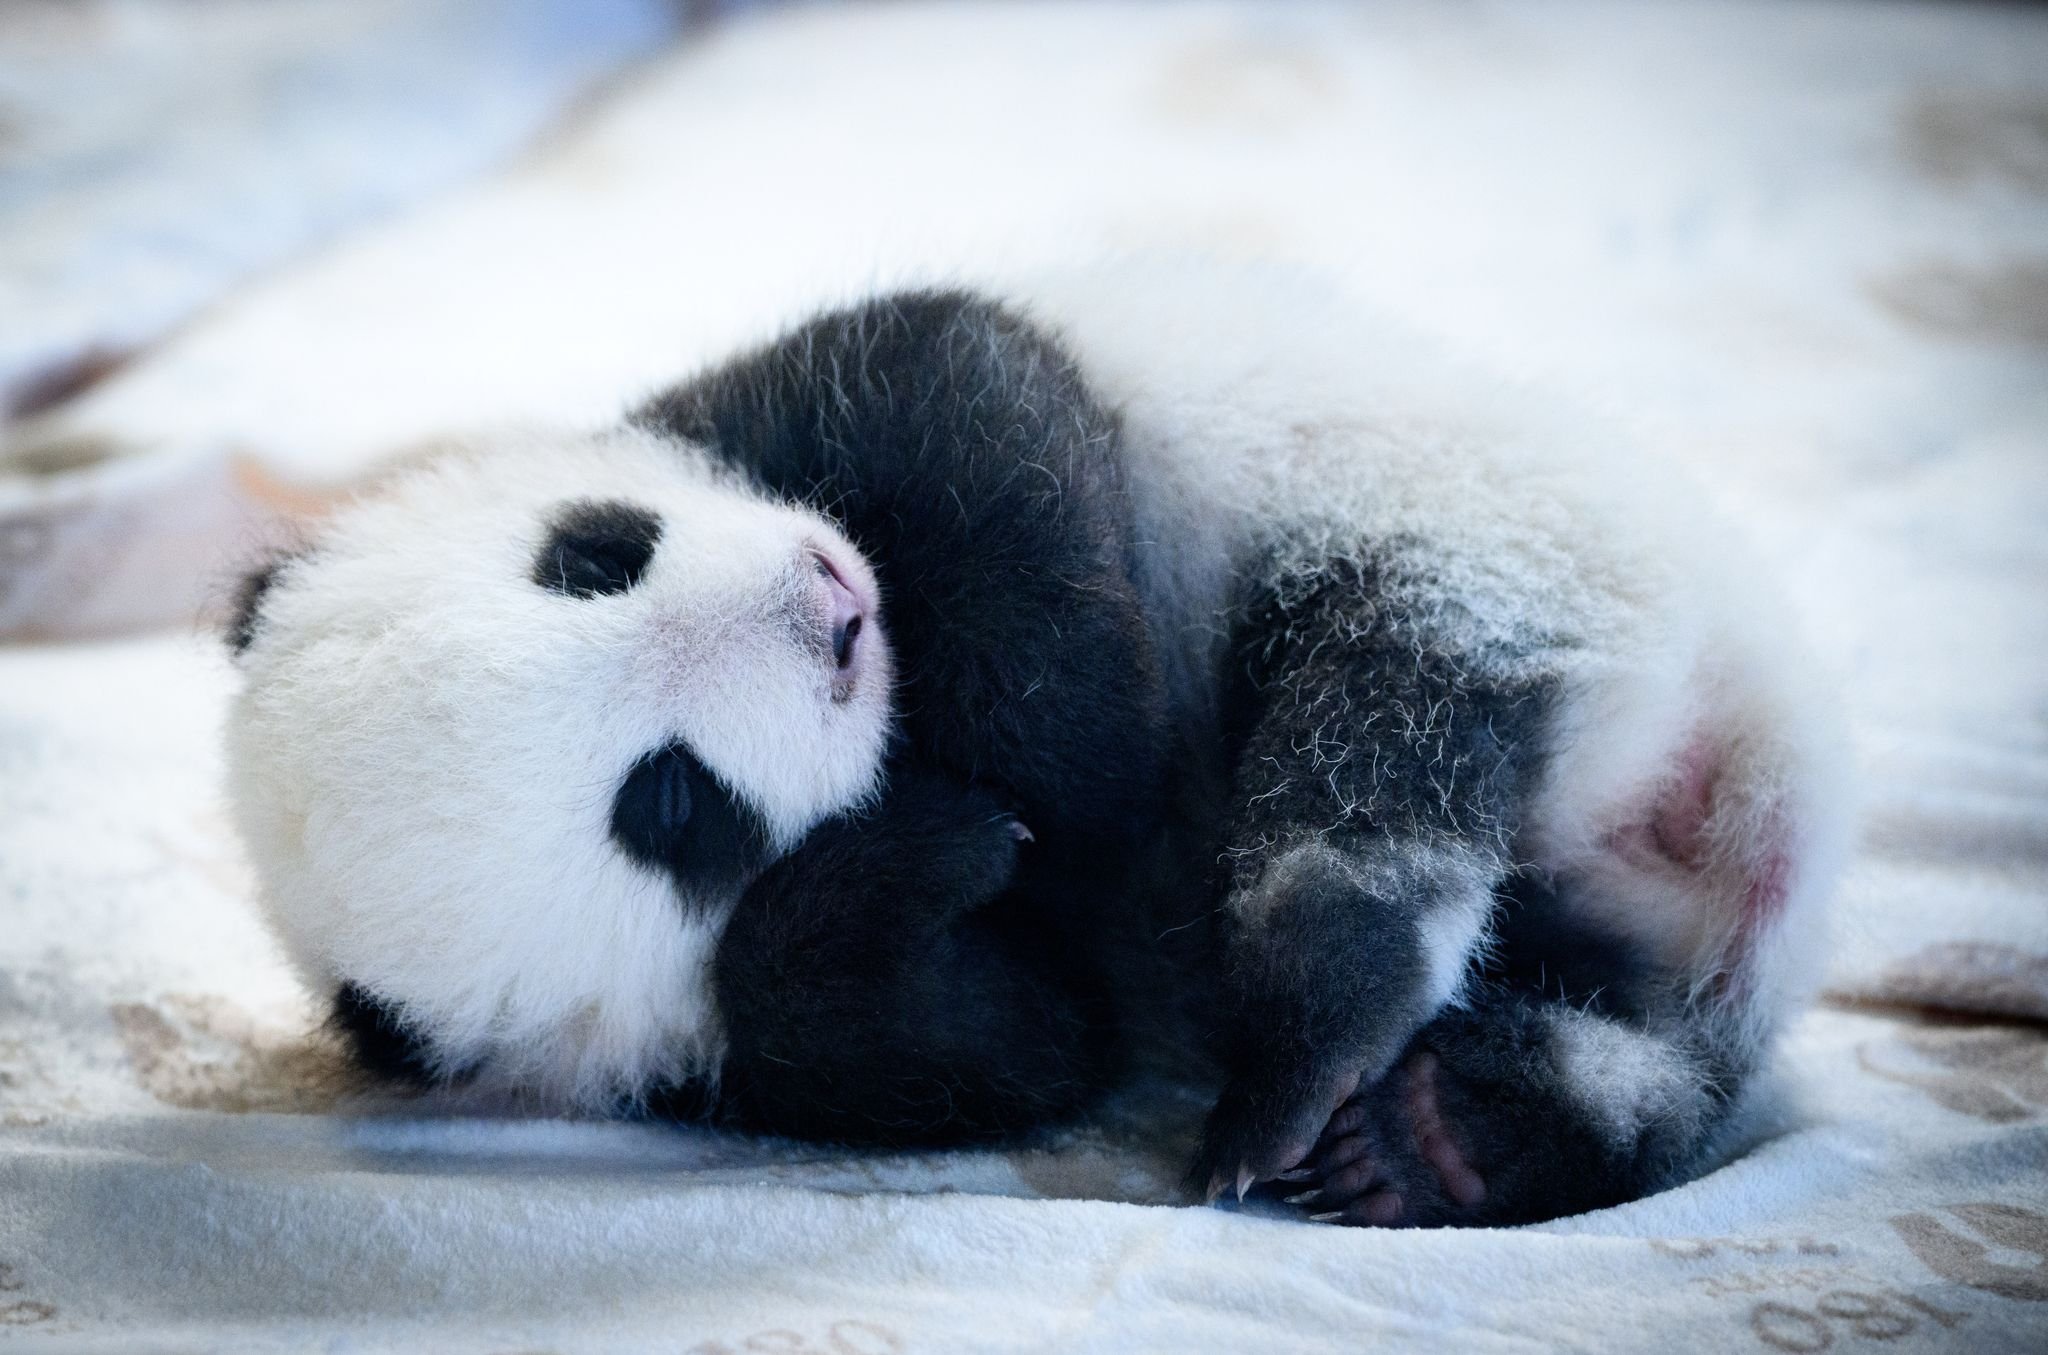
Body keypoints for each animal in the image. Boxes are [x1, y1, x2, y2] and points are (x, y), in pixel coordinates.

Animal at [223, 260, 1846, 1228]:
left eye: (593, 557)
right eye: (670, 804)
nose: (827, 615)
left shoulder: (796, 399)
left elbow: (972, 396)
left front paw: (1059, 748)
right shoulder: (746, 1066)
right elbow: (1014, 1032)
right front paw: (921, 863)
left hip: (1499, 531)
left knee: (1378, 728)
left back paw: (1341, 1066)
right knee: (1500, 907)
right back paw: (1431, 1119)